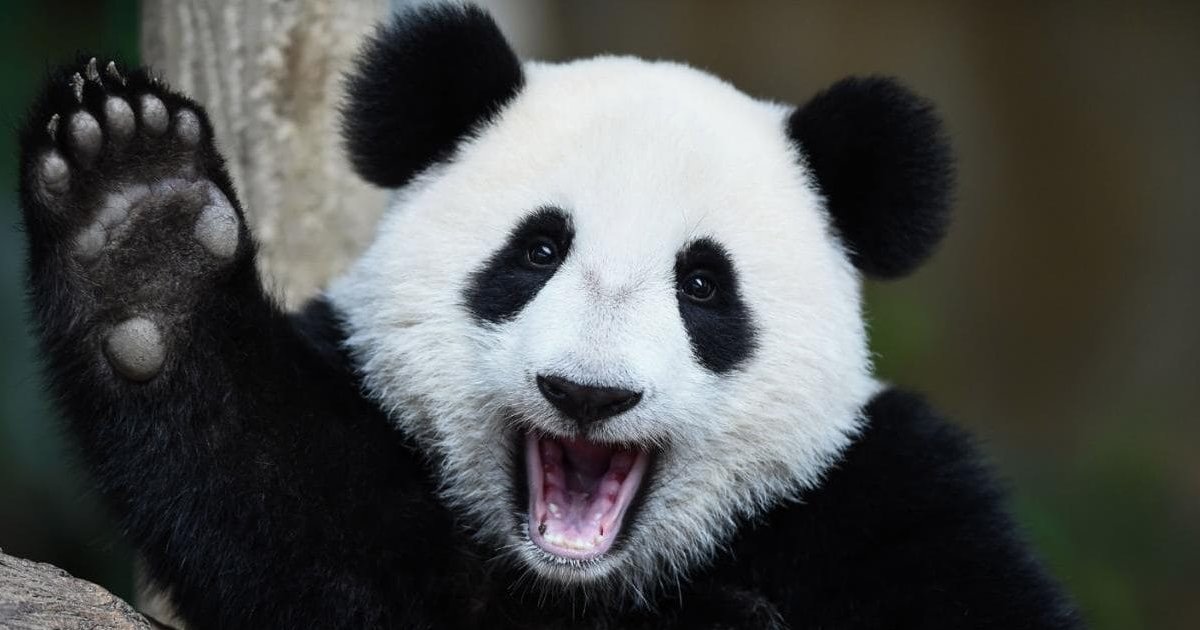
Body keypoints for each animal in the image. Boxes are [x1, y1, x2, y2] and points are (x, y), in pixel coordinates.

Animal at [17, 3, 1083, 629]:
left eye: (704, 286)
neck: (578, 579)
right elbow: (288, 510)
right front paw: (142, 227)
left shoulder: (885, 504)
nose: (588, 394)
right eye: (537, 252)